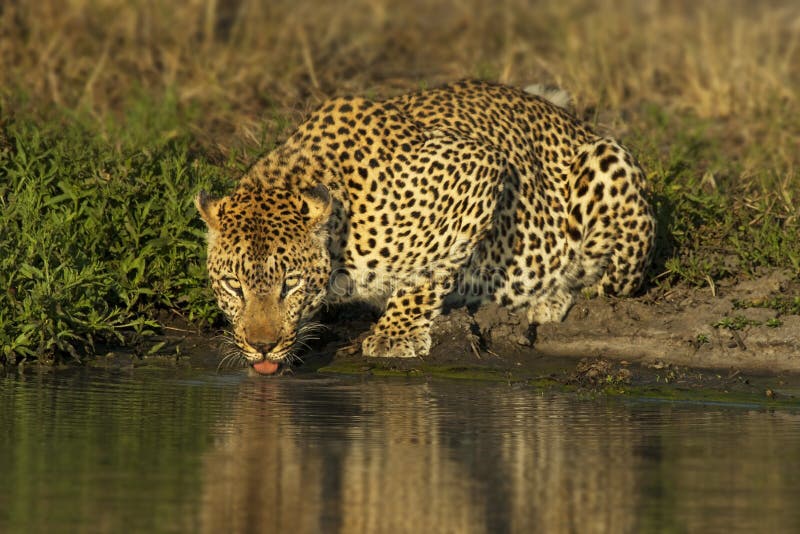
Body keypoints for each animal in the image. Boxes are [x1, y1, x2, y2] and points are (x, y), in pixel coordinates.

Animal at [196, 80, 655, 375]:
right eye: (234, 286)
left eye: (290, 284)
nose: (263, 346)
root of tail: (575, 122)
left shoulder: (478, 167)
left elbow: (425, 273)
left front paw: (395, 334)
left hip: (608, 161)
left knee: (604, 281)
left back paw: (549, 299)